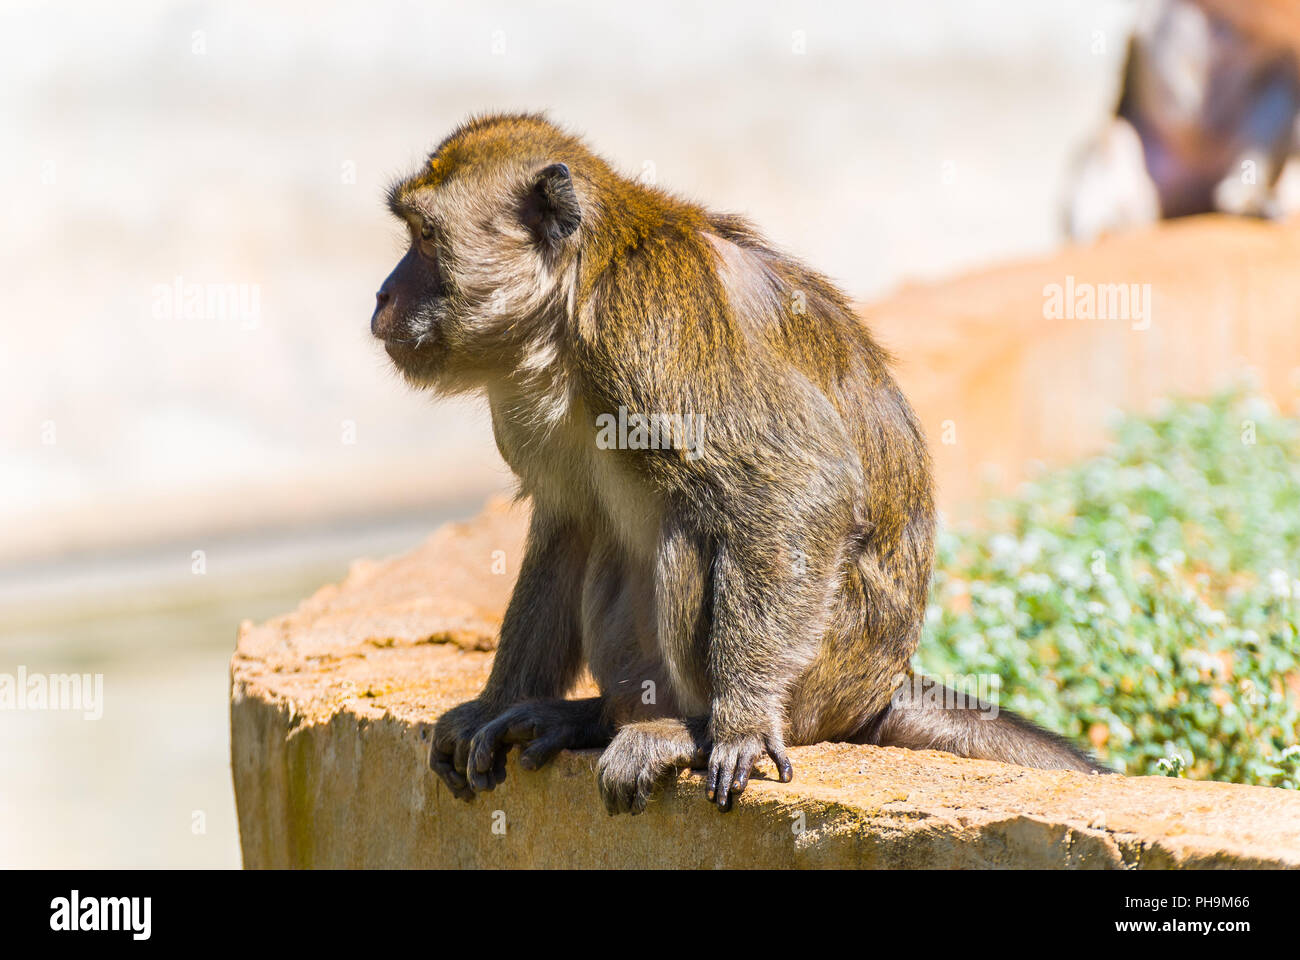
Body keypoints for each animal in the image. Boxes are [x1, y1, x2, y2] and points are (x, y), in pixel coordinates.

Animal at [371, 113, 1105, 815]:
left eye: (426, 239)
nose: (381, 295)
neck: (566, 315)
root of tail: (880, 690)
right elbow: (567, 524)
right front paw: (493, 707)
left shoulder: (649, 320)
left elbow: (799, 487)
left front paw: (742, 723)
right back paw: (594, 718)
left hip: (817, 681)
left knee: (694, 528)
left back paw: (689, 730)